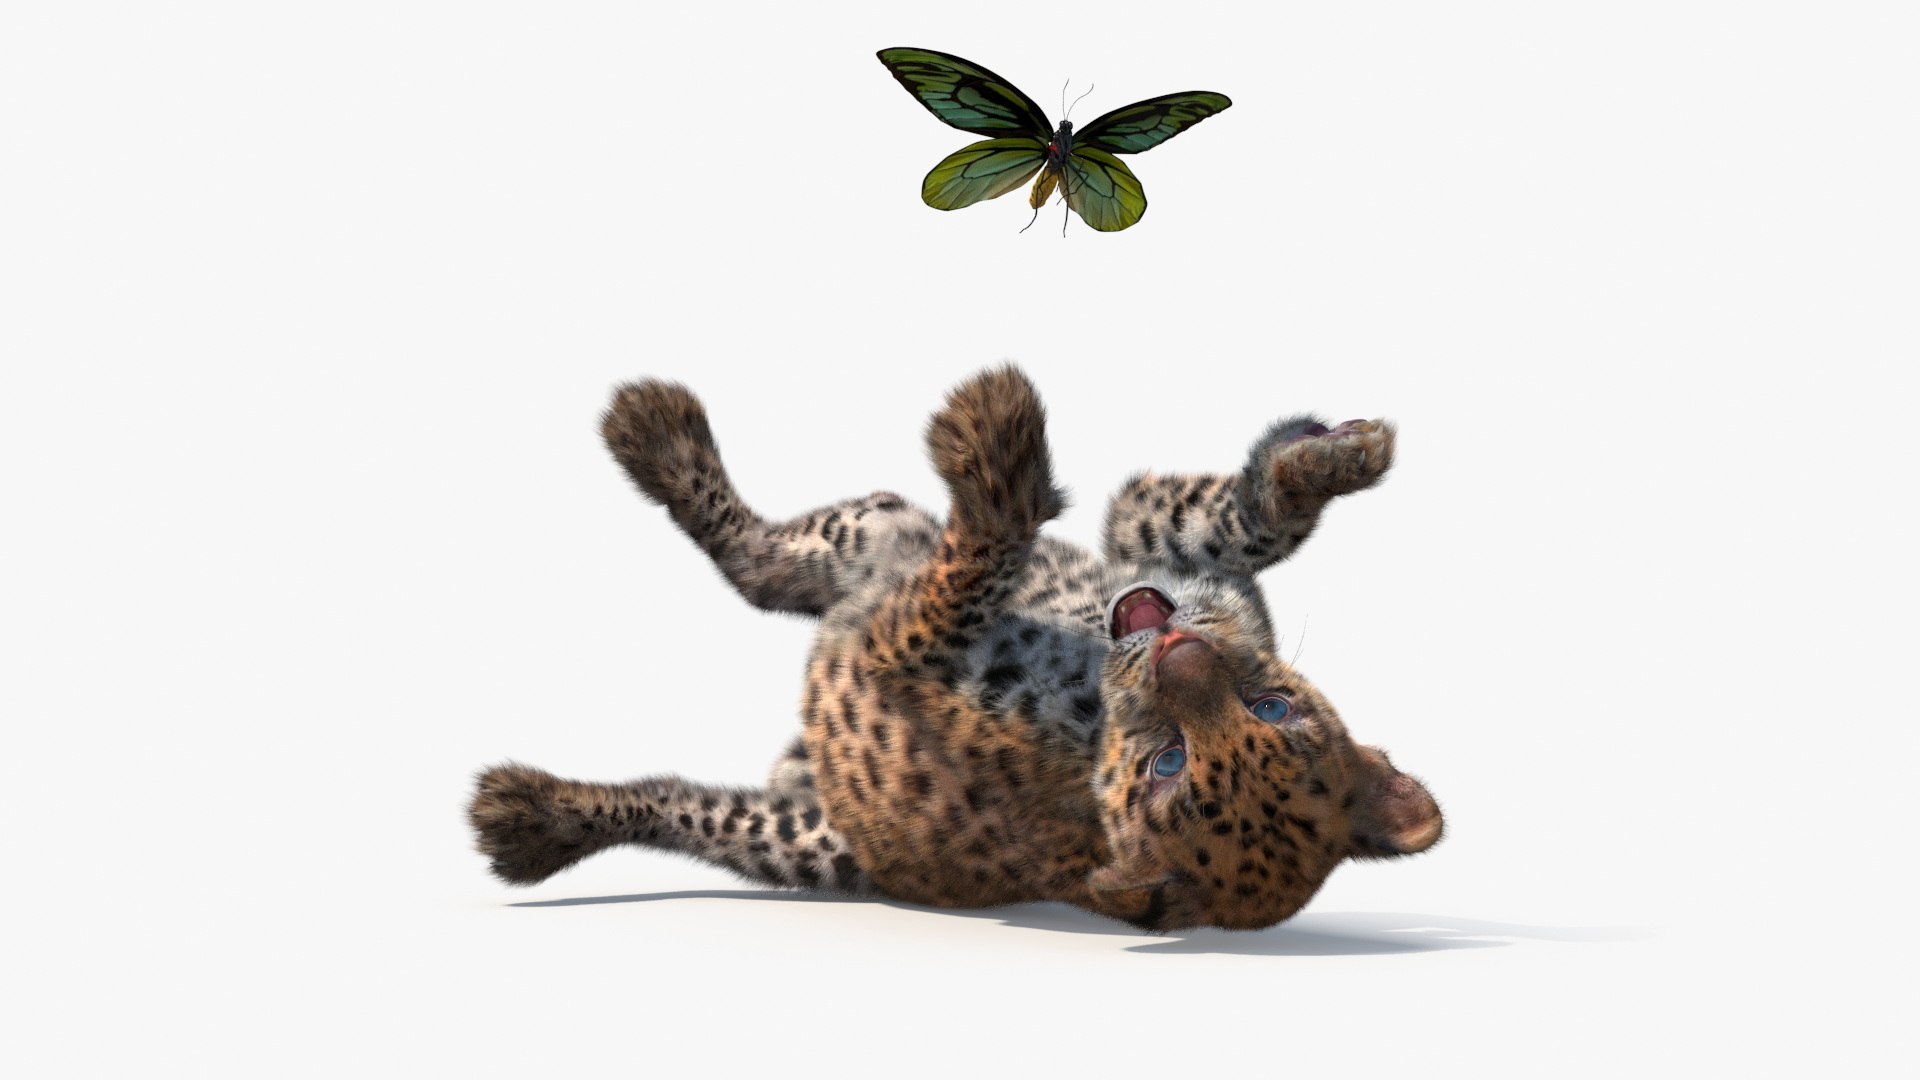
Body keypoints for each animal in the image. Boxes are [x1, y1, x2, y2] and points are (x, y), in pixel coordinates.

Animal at [468, 365, 1441, 931]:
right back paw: (659, 433)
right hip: (866, 530)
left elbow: (969, 570)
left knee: (722, 681)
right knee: (761, 557)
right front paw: (1333, 456)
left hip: (812, 833)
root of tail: (804, 765)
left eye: (1169, 768)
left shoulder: (892, 651)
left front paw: (996, 446)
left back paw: (529, 816)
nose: (1174, 651)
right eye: (1273, 707)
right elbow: (1224, 519)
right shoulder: (1165, 561)